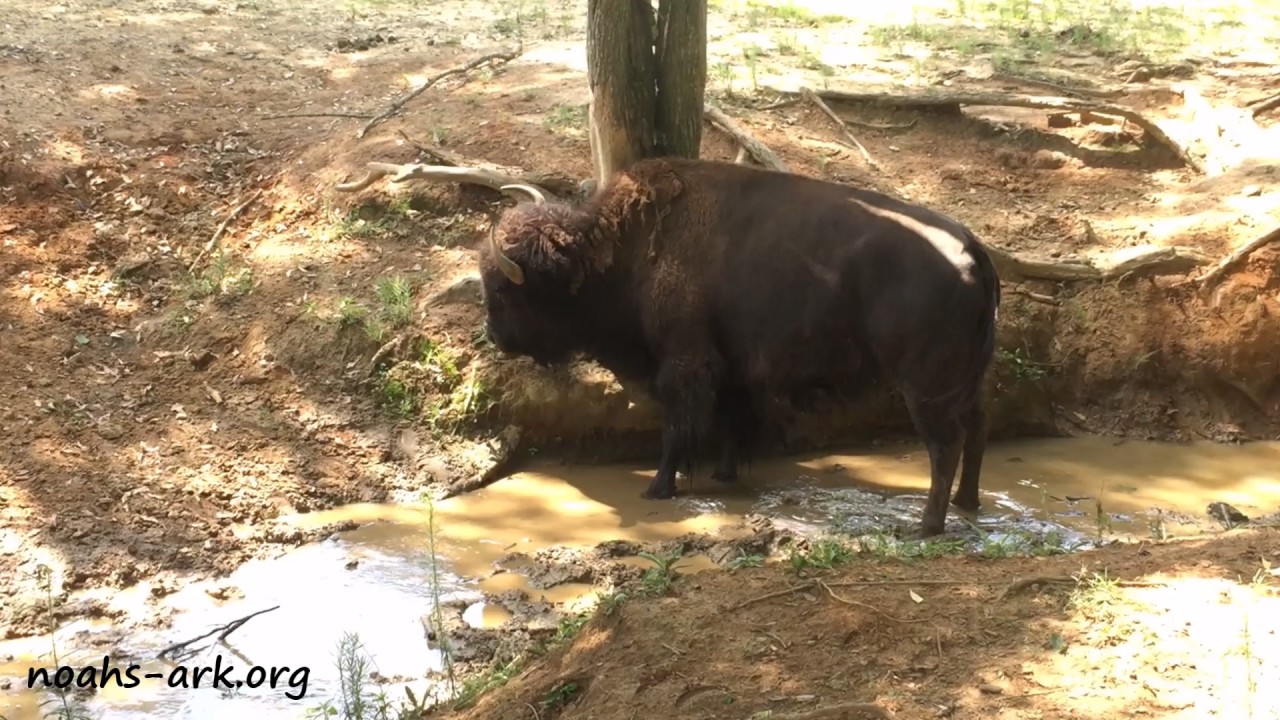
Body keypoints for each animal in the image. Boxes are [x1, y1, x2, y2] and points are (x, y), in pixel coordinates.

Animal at [477, 157, 1001, 537]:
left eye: (504, 291)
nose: (494, 335)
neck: (622, 252)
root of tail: (972, 247)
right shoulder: (731, 371)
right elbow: (730, 422)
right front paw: (725, 476)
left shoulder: (685, 364)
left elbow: (677, 428)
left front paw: (657, 488)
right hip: (966, 381)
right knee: (977, 430)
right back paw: (967, 503)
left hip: (925, 387)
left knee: (945, 444)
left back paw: (927, 526)